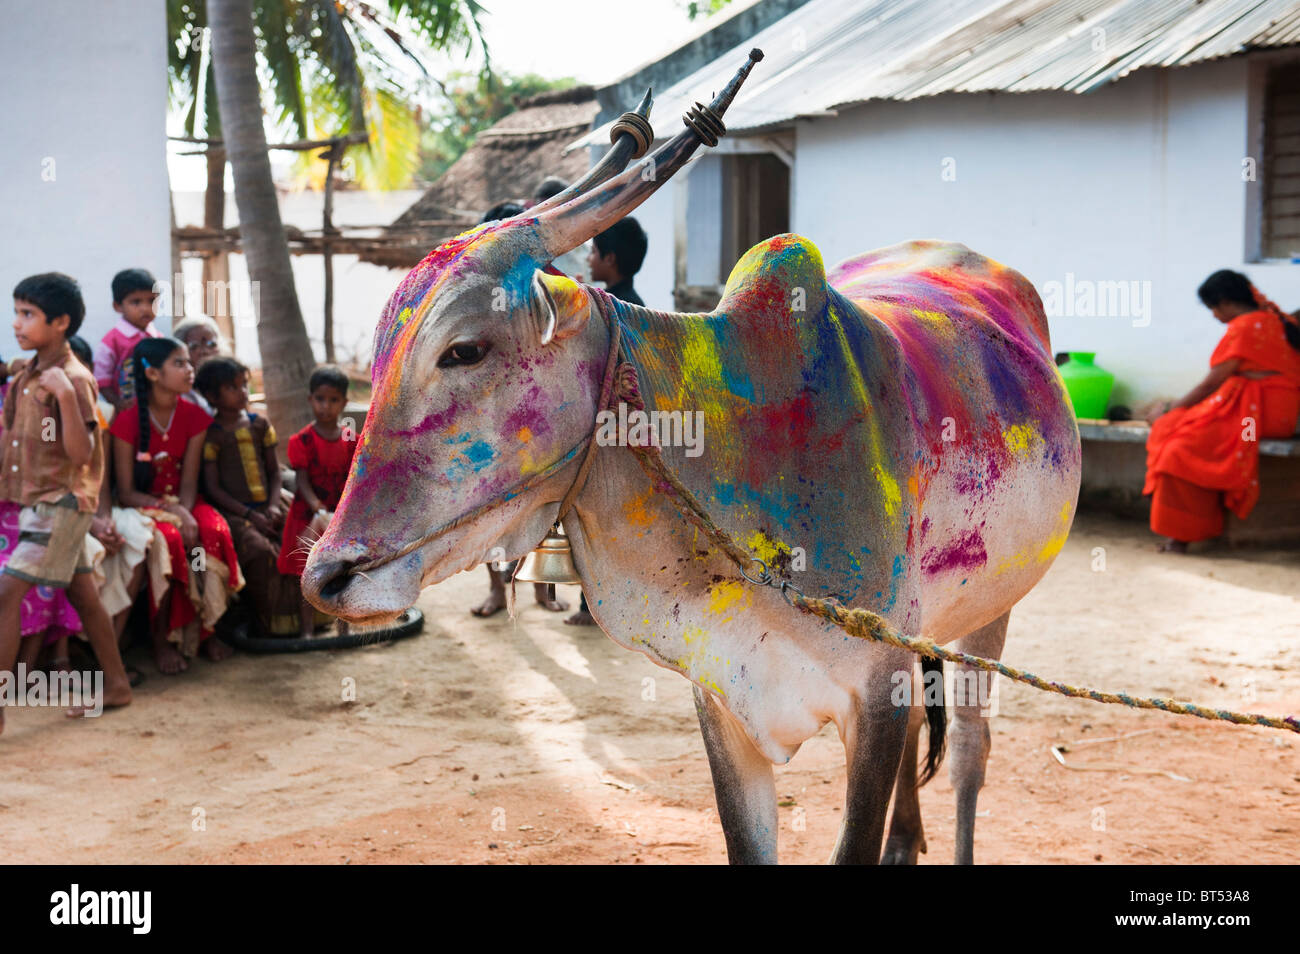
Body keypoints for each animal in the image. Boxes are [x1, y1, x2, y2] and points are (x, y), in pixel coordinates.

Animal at [302, 50, 1082, 864]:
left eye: (463, 350)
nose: (328, 575)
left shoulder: (875, 690)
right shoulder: (724, 701)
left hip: (991, 610)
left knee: (969, 750)